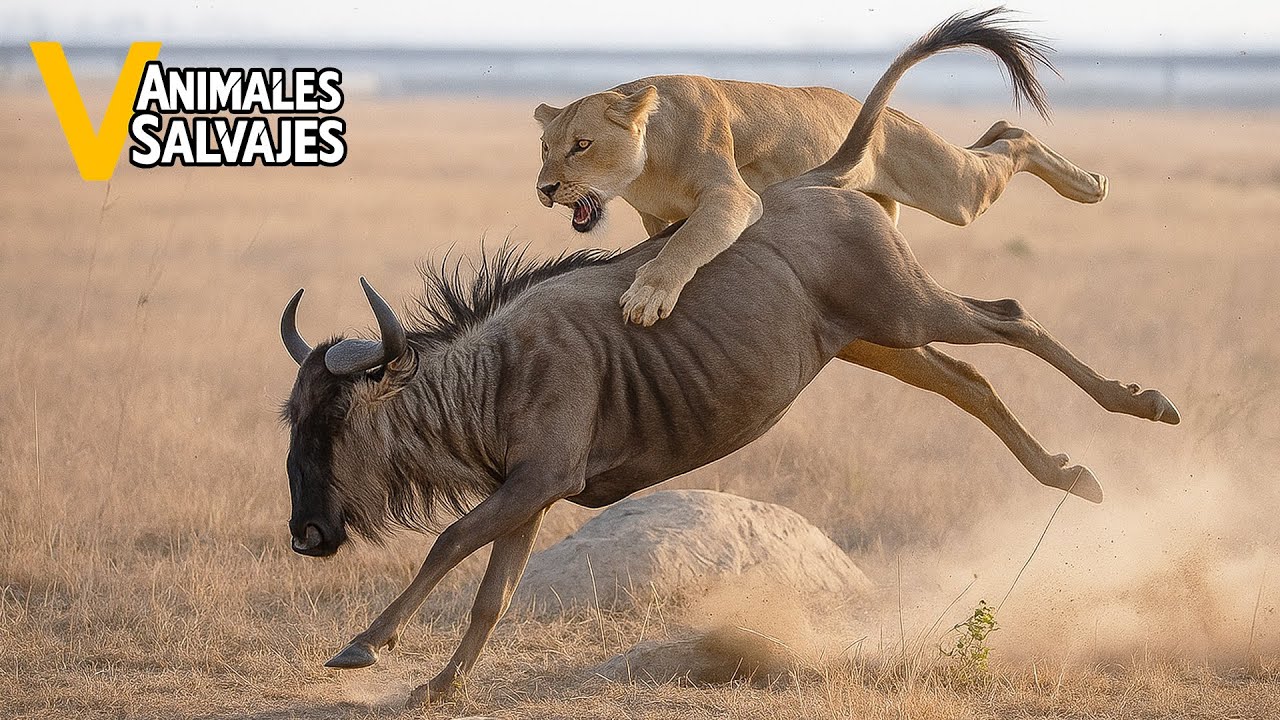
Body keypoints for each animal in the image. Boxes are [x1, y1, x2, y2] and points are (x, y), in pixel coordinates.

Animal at [533, 9, 1108, 326]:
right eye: (544, 148)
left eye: (581, 145)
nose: (545, 189)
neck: (646, 168)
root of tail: (871, 111)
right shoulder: (656, 216)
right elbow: (669, 238)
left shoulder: (732, 196)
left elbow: (685, 244)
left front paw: (649, 296)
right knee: (998, 131)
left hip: (953, 192)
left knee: (1015, 137)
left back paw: (1091, 186)